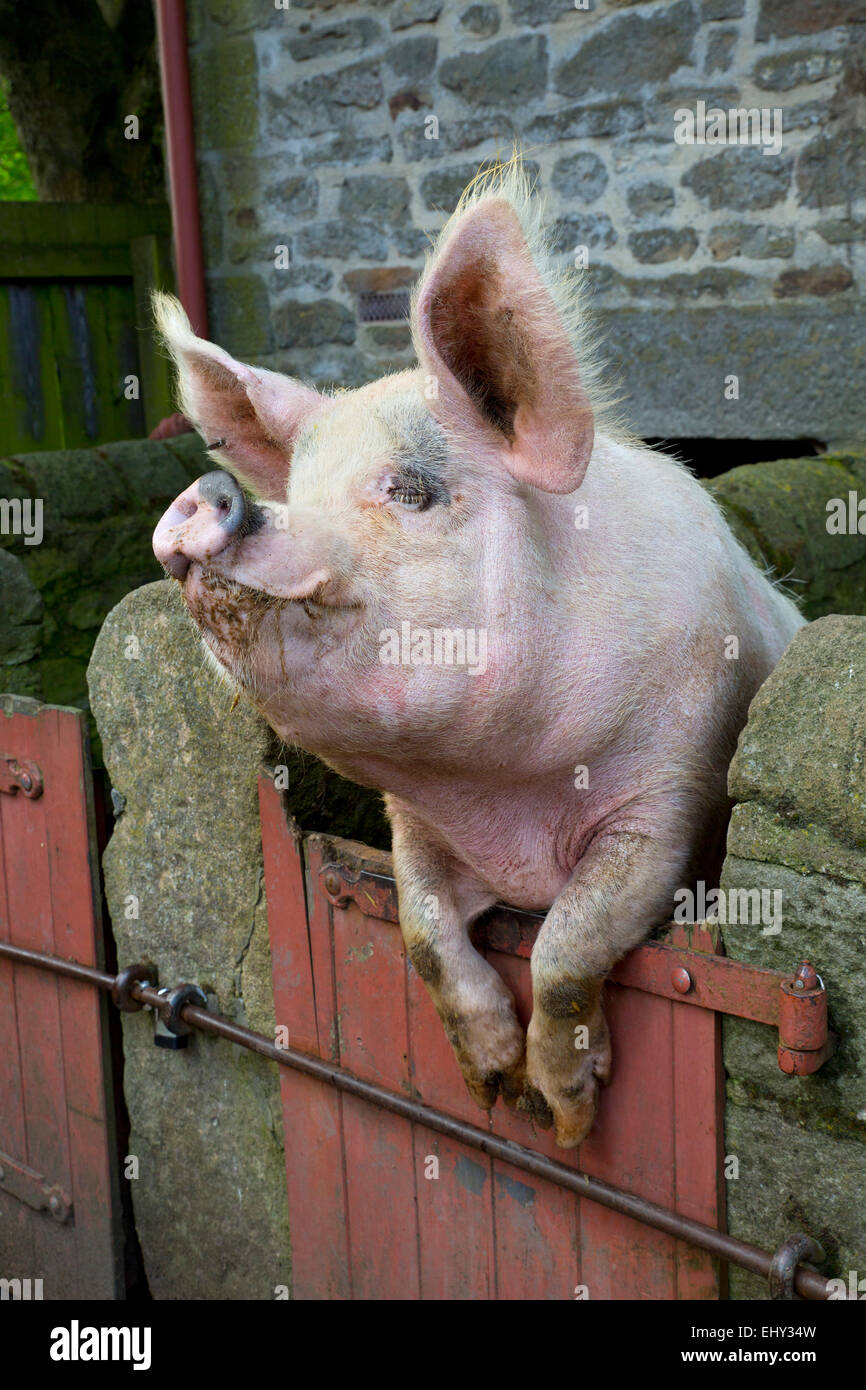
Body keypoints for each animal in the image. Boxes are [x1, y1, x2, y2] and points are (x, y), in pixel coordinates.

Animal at [152, 160, 804, 1148]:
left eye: (412, 491)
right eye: (299, 489)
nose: (209, 495)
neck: (501, 796)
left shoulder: (675, 793)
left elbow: (568, 942)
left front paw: (561, 1118)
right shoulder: (410, 823)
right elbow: (423, 932)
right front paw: (490, 1082)